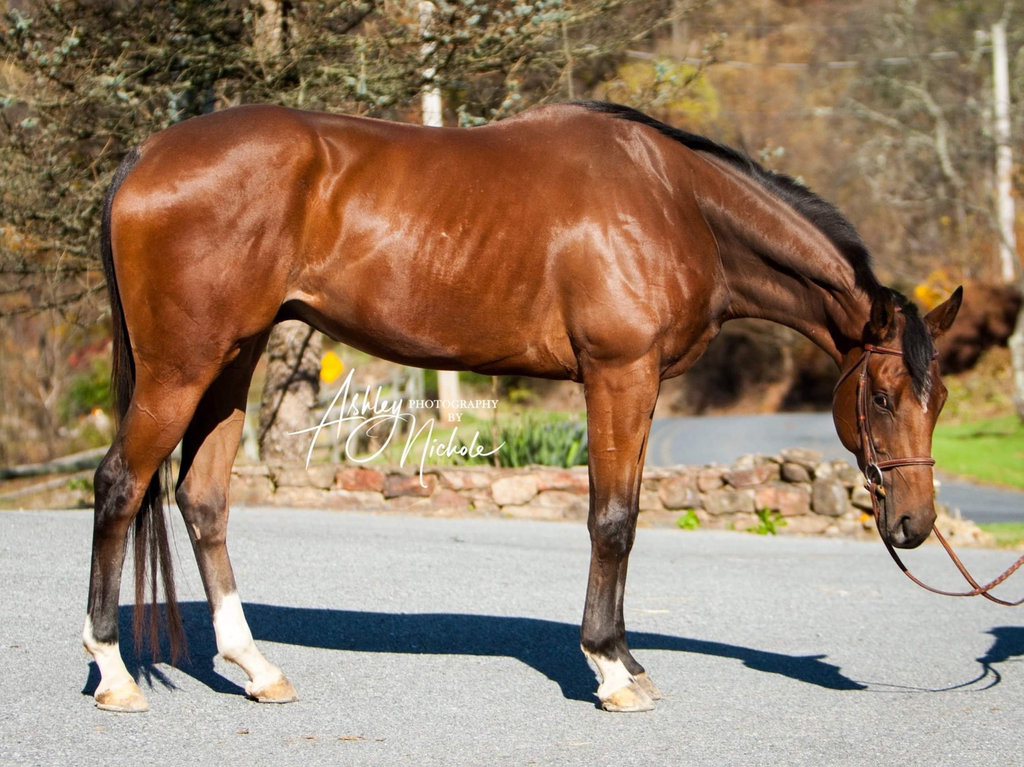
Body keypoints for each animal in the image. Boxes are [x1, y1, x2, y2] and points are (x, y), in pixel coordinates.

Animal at [85, 100, 963, 713]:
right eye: (883, 395)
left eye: (941, 399)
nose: (914, 524)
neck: (674, 200)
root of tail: (146, 158)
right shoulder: (619, 373)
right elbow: (613, 519)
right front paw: (611, 669)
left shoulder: (638, 383)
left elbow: (623, 513)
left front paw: (624, 659)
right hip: (181, 368)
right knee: (119, 487)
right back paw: (113, 671)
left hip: (232, 360)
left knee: (202, 498)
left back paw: (257, 668)